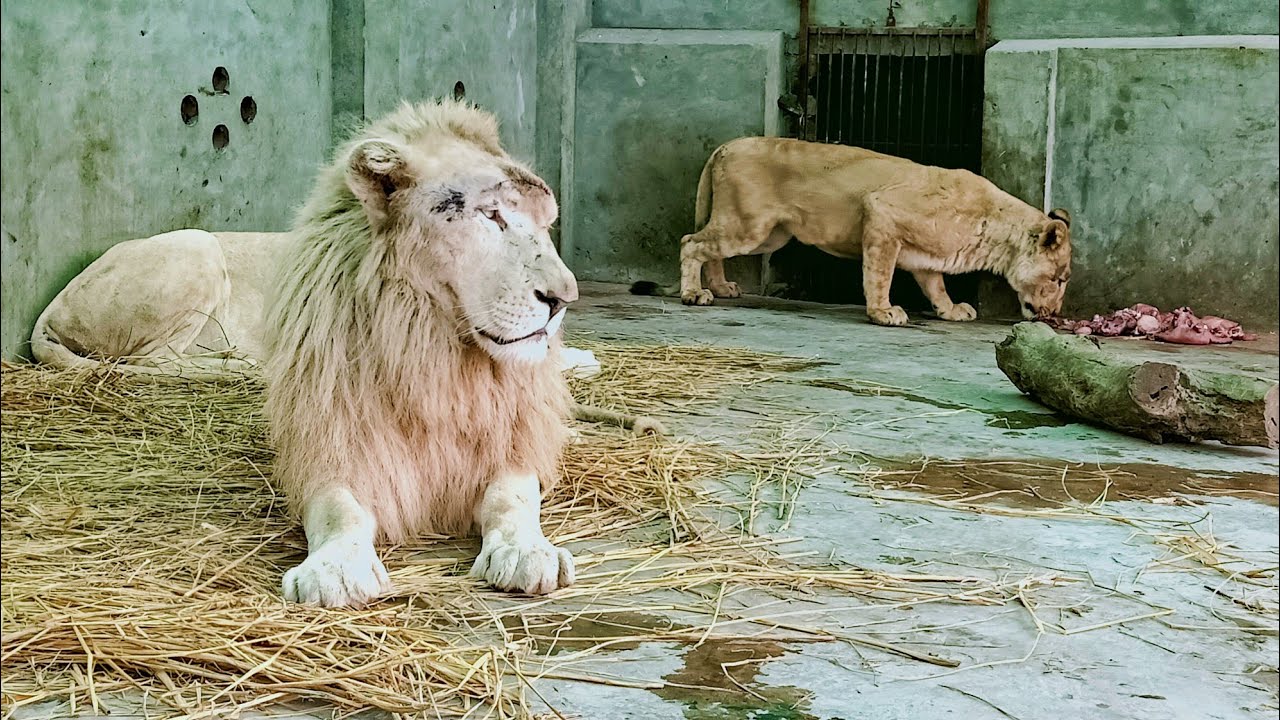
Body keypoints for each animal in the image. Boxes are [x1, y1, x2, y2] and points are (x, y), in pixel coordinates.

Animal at [633, 137, 1072, 326]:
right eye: (1060, 279)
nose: (1054, 315)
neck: (994, 231)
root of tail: (724, 146)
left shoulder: (928, 258)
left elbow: (936, 286)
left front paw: (950, 311)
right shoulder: (881, 213)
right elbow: (878, 274)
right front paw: (884, 313)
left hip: (769, 233)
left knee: (711, 249)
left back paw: (722, 288)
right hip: (750, 225)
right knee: (691, 243)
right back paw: (694, 294)